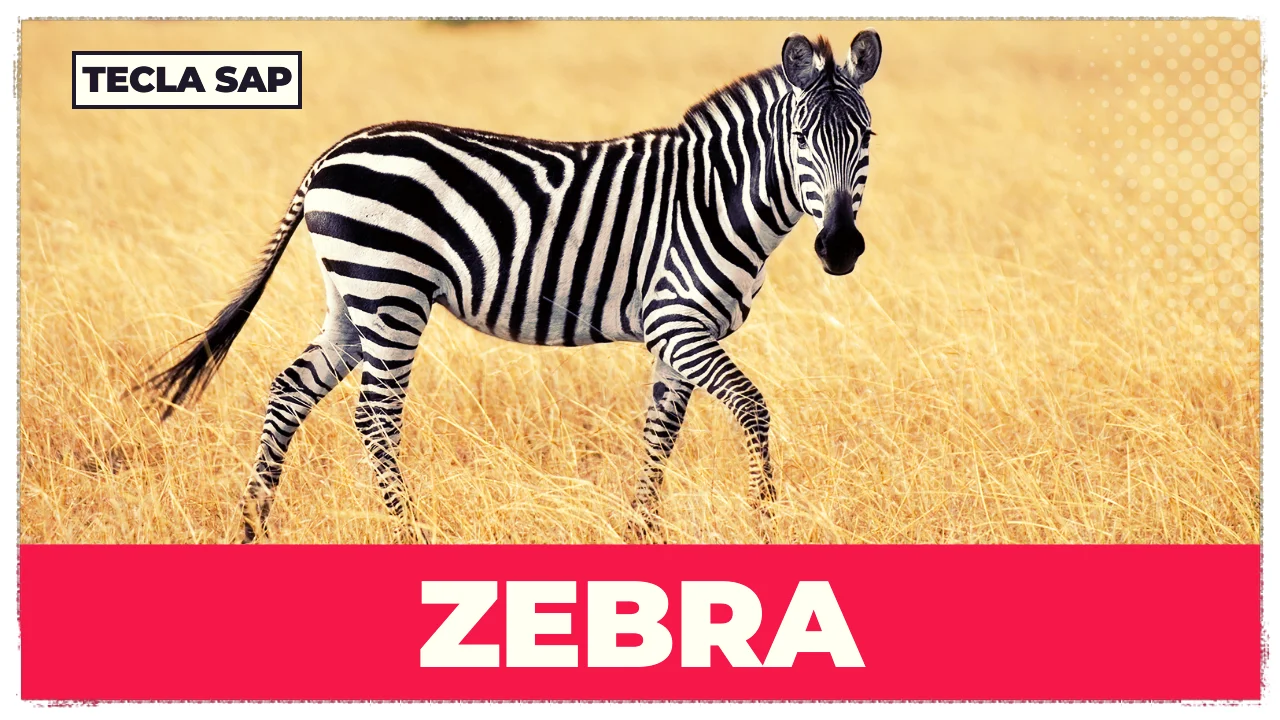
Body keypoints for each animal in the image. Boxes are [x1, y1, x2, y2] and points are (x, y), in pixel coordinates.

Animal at [141, 30, 882, 543]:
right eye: (801, 138)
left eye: (867, 138)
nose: (841, 247)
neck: (714, 195)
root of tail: (332, 153)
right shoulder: (677, 320)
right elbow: (753, 409)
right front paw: (766, 522)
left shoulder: (679, 336)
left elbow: (660, 433)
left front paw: (641, 532)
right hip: (392, 290)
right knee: (375, 417)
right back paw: (410, 533)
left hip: (351, 298)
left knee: (290, 389)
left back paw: (251, 524)